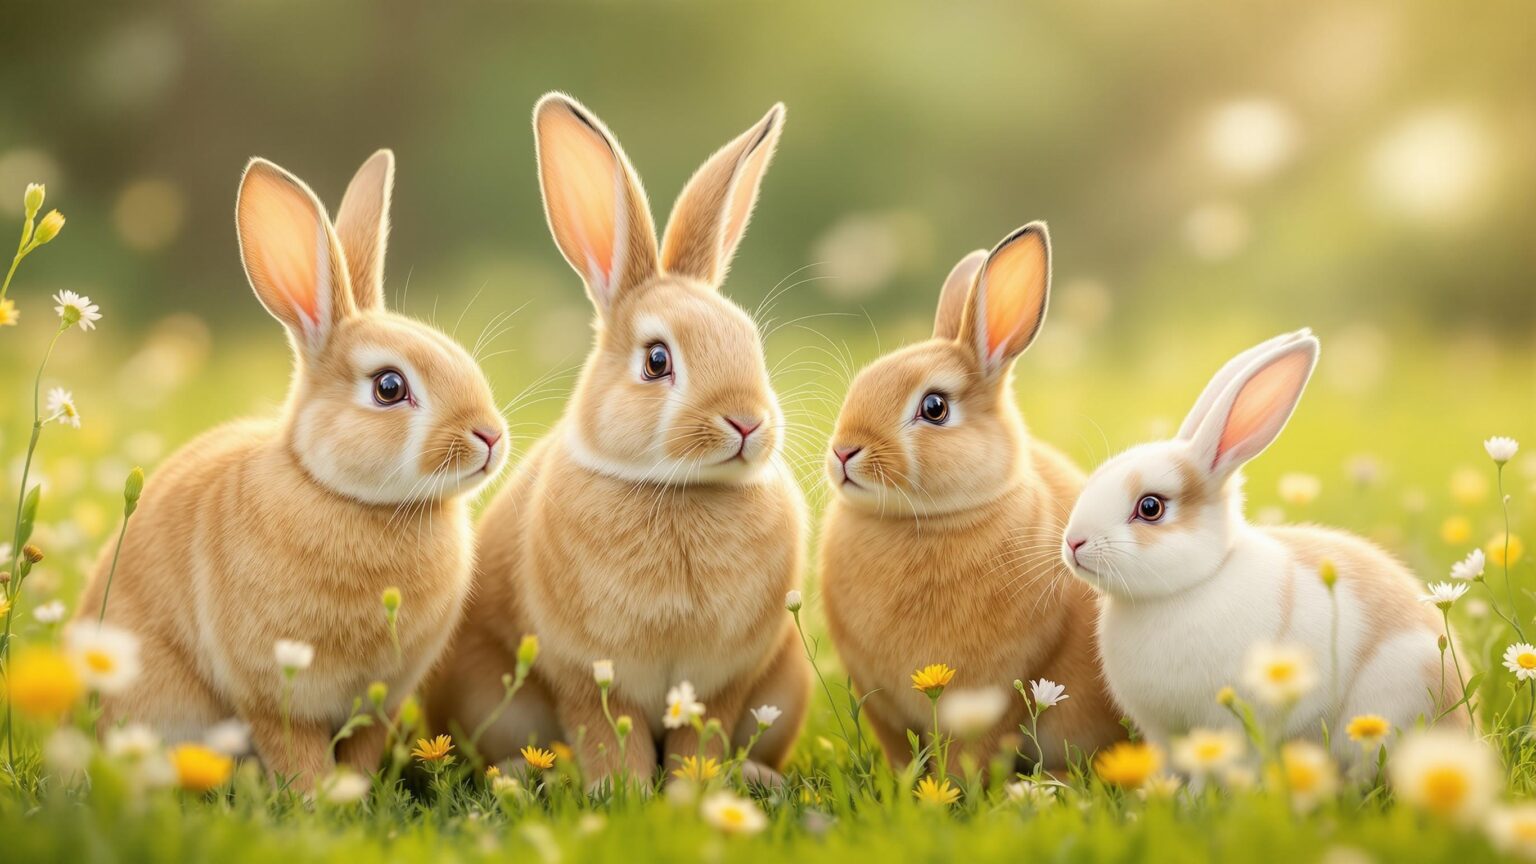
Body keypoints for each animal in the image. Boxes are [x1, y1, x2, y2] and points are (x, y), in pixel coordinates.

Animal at [74, 151, 509, 786]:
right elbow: (296, 754)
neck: (339, 493)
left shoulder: (381, 698)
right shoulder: (272, 693)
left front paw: (353, 791)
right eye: (389, 387)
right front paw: (321, 796)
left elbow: (362, 749)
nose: (491, 436)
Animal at [426, 93, 810, 783]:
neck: (679, 488)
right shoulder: (588, 676)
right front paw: (622, 791)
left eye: (750, 342)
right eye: (657, 361)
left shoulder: (720, 684)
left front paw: (693, 787)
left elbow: (700, 737)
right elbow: (608, 734)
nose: (746, 421)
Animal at [820, 223, 1125, 772]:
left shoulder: (996, 690)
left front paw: (953, 787)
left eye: (935, 407)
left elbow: (972, 752)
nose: (843, 450)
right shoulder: (880, 703)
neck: (928, 520)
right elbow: (900, 750)